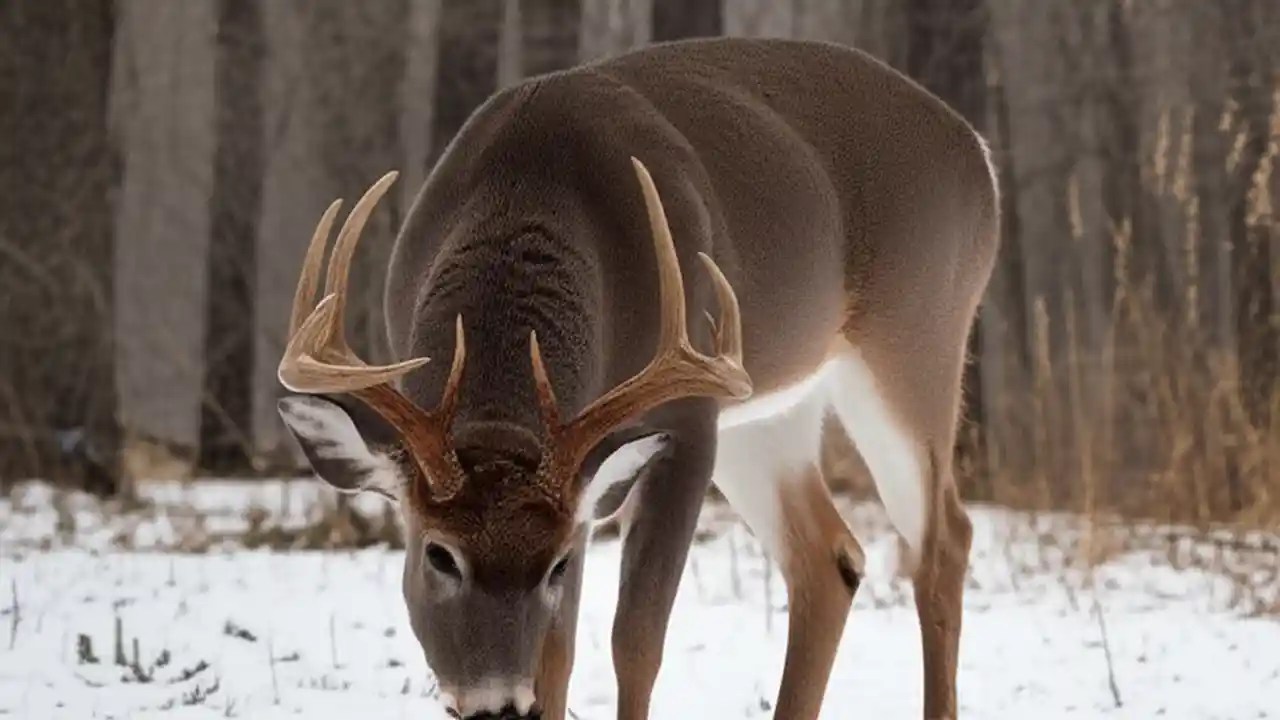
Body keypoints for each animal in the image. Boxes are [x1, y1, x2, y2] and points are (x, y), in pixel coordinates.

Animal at [276, 36, 998, 720]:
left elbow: (637, 637)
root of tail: (978, 151)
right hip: (768, 414)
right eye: (438, 554)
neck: (525, 190)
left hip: (914, 340)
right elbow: (557, 654)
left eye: (554, 566)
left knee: (945, 538)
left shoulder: (687, 420)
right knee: (829, 558)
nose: (496, 706)